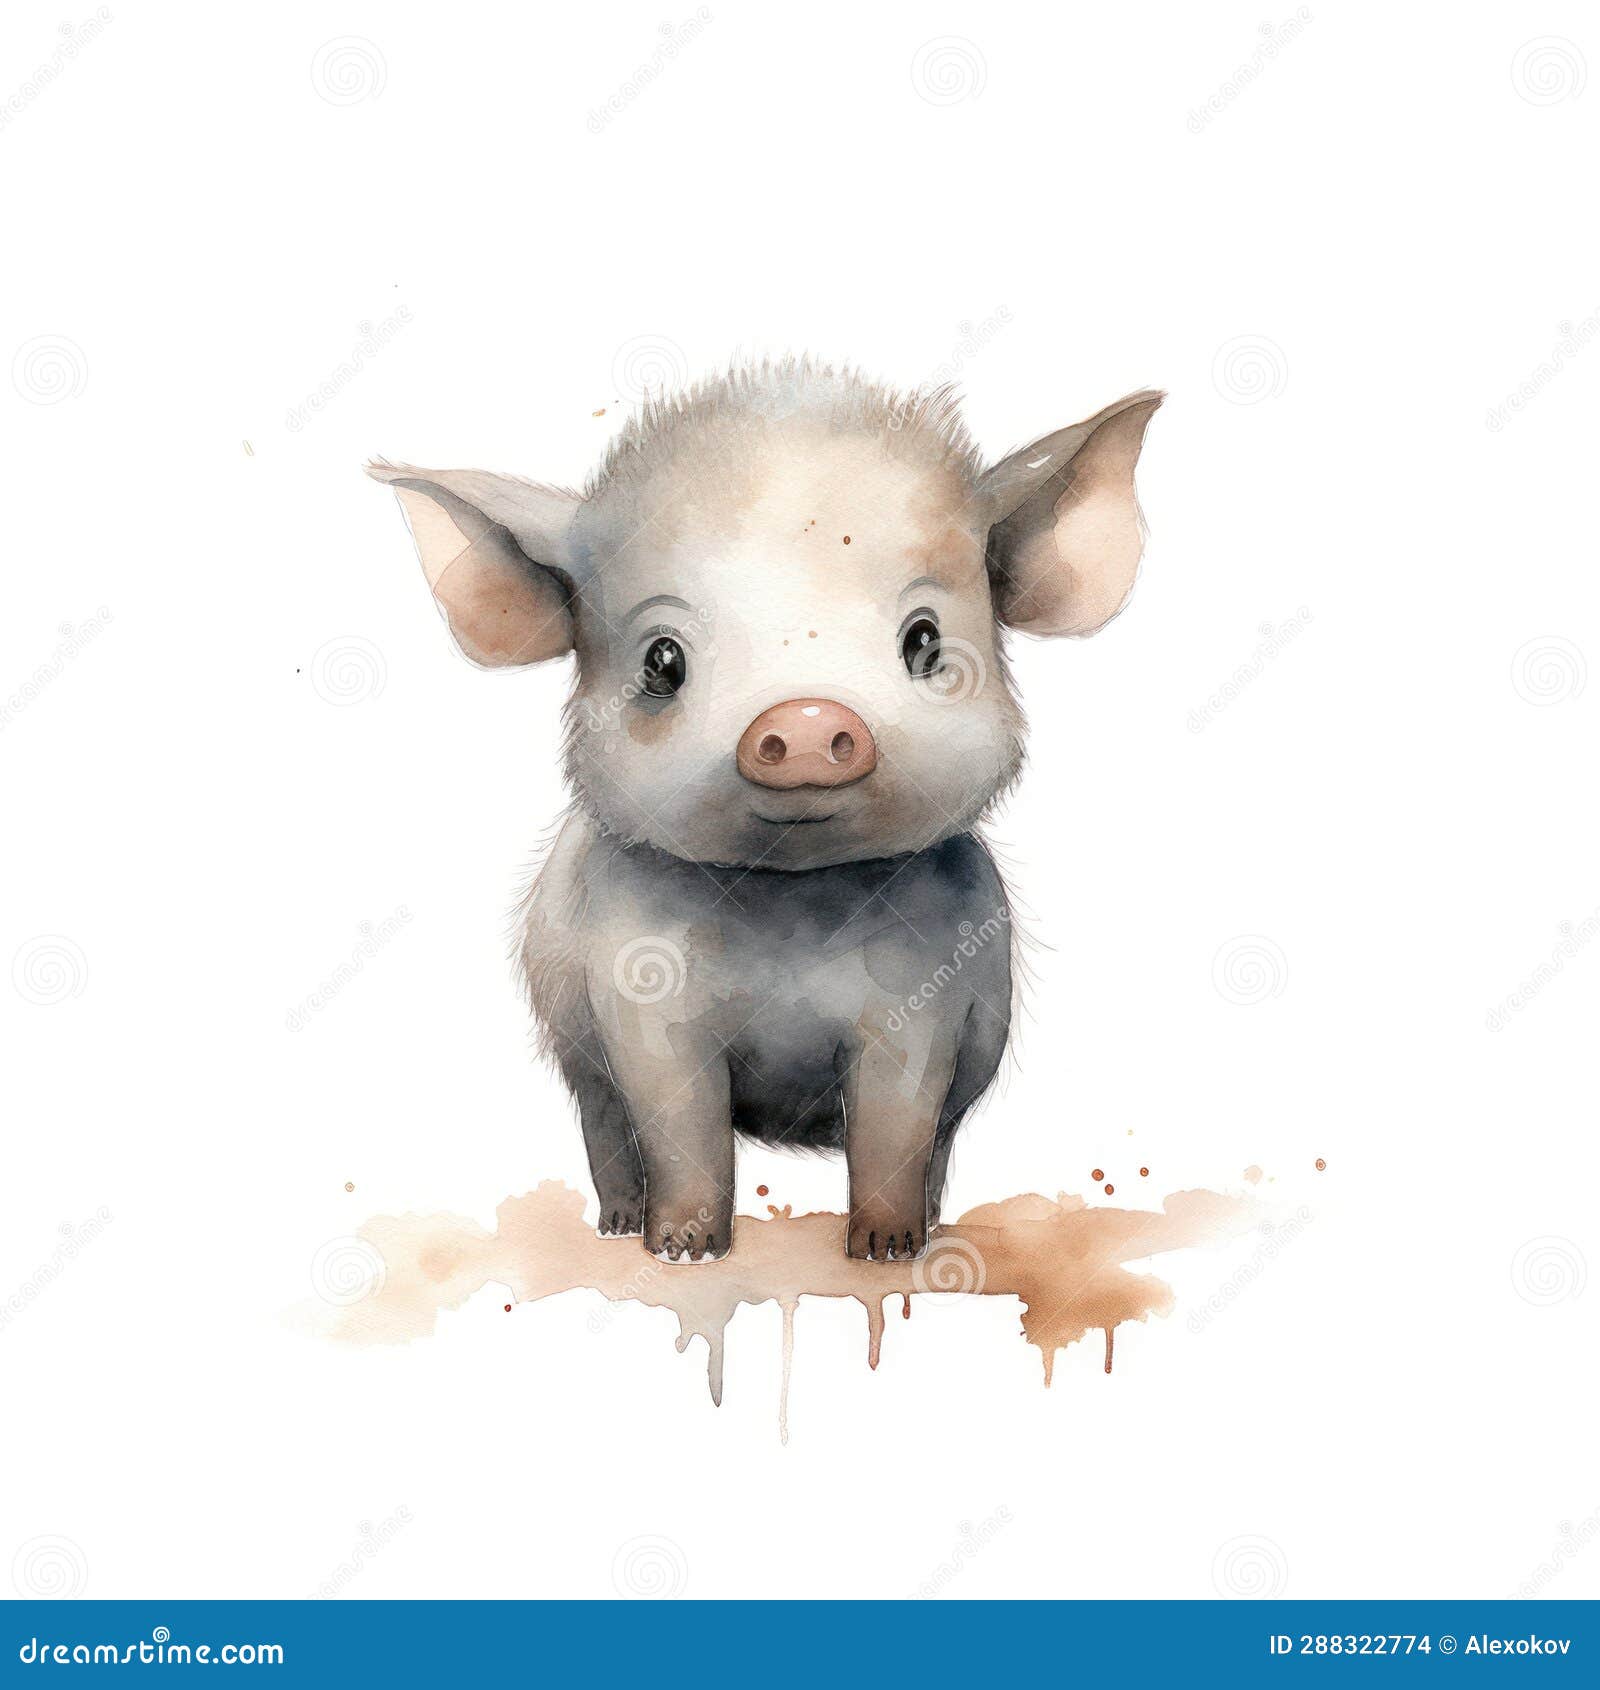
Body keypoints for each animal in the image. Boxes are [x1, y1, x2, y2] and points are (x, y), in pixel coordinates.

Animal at [367, 359, 1161, 1264]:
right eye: (662, 660)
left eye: (925, 640)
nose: (808, 720)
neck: (791, 906)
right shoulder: (635, 997)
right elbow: (680, 1122)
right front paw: (682, 1249)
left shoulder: (926, 1002)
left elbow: (897, 1122)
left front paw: (885, 1251)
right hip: (570, 1045)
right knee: (604, 1124)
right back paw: (618, 1226)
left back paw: (932, 1229)